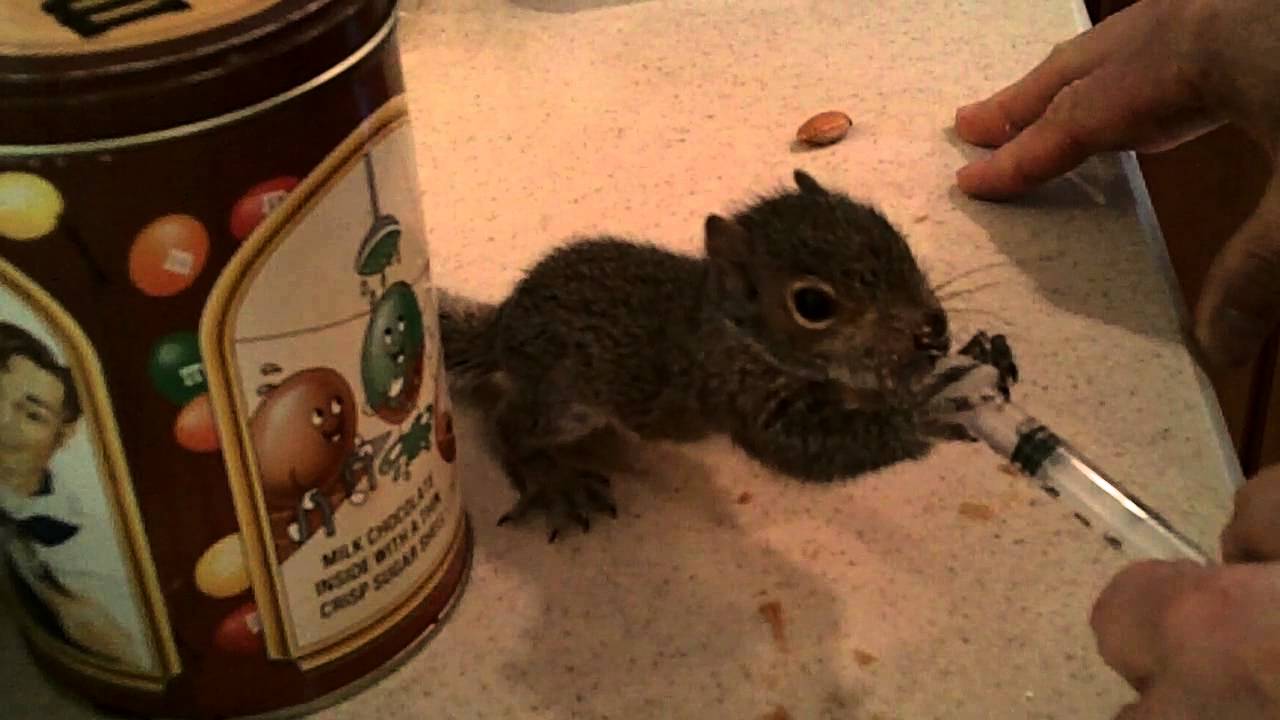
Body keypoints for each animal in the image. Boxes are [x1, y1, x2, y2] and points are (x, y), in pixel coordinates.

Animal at [438, 170, 1016, 541]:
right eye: (812, 304)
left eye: (885, 227)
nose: (932, 329)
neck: (733, 325)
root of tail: (503, 323)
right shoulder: (739, 390)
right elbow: (811, 447)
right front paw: (926, 411)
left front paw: (974, 358)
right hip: (564, 399)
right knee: (510, 423)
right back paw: (552, 477)